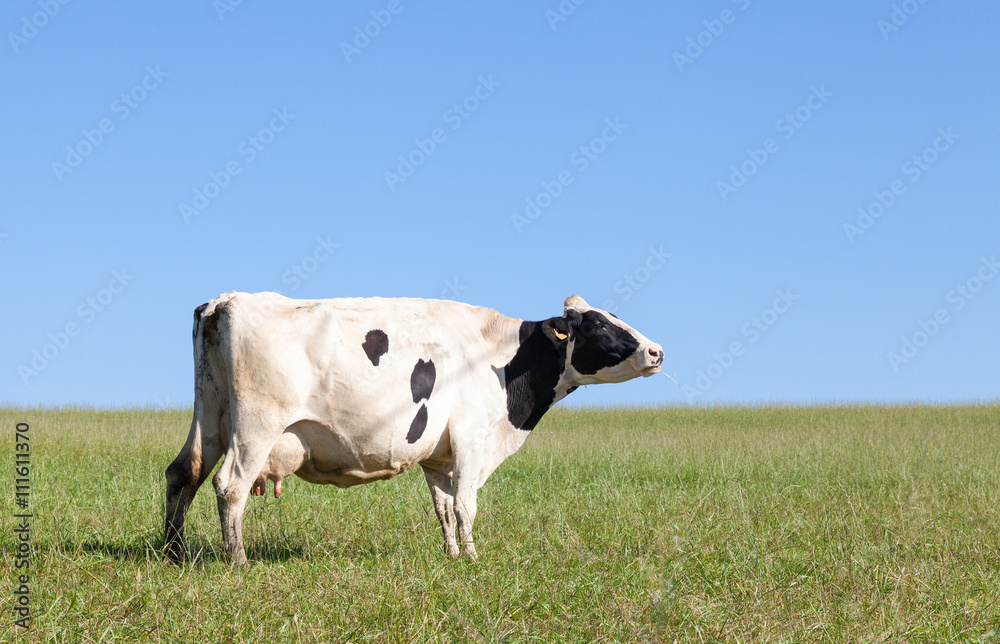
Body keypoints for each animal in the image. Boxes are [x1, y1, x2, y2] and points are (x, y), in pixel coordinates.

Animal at [164, 292, 663, 564]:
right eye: (598, 324)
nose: (657, 351)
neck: (501, 360)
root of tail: (227, 300)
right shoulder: (470, 438)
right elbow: (466, 505)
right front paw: (474, 559)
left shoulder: (438, 456)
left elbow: (444, 508)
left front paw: (453, 556)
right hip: (256, 426)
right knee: (230, 486)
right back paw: (238, 560)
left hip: (210, 417)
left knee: (182, 474)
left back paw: (174, 553)